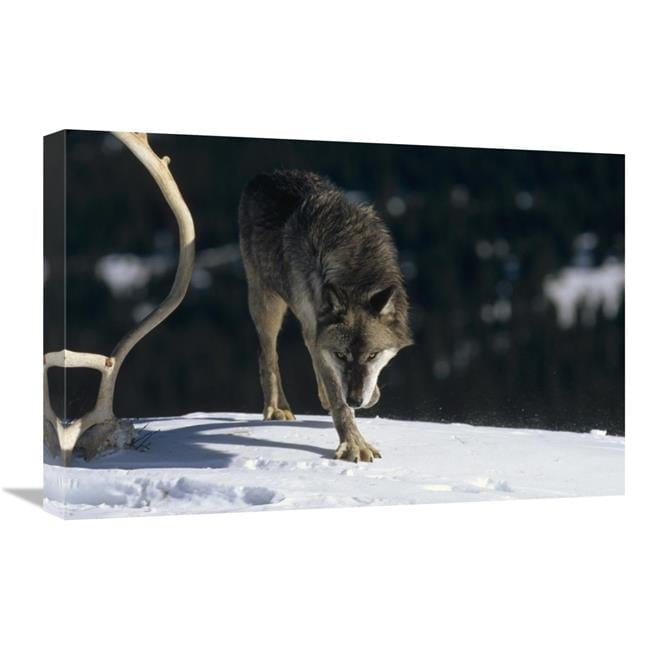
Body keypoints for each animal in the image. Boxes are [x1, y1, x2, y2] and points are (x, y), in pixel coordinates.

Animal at [238, 170, 412, 462]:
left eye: (373, 355)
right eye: (341, 355)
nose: (355, 399)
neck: (355, 271)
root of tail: (266, 175)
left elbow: (363, 388)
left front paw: (363, 399)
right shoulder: (325, 341)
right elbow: (339, 401)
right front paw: (354, 445)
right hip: (267, 303)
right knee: (268, 355)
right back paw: (276, 409)